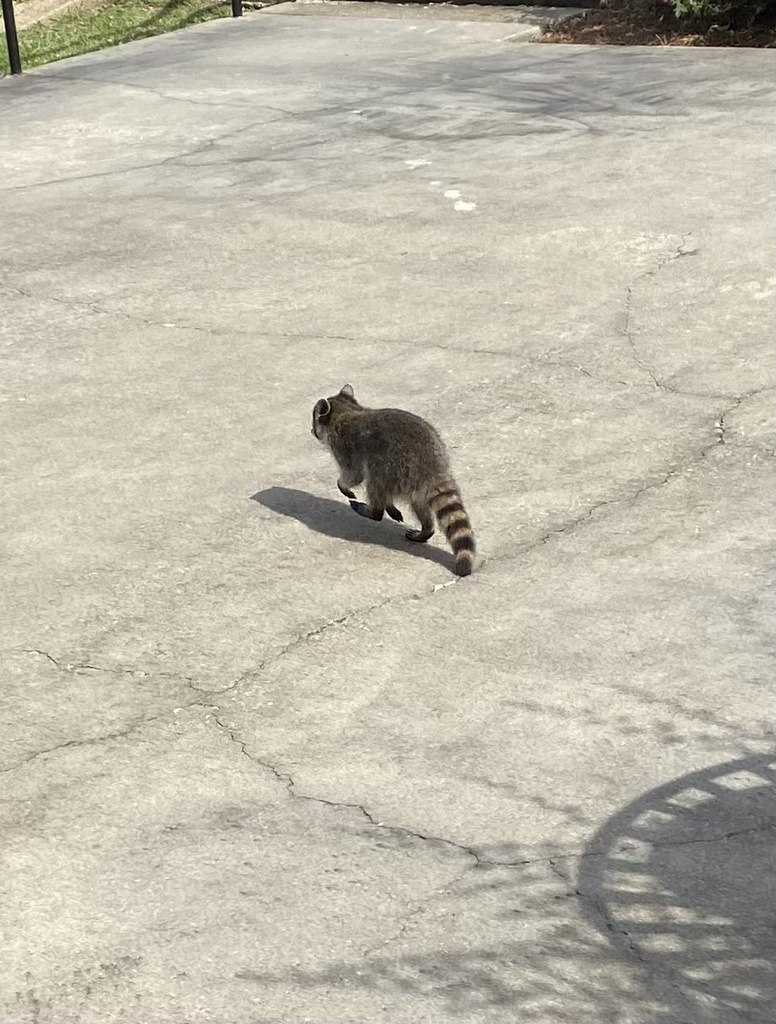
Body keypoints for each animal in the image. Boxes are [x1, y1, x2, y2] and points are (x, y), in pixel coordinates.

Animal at [311, 384, 476, 576]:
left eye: (314, 419)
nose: (311, 431)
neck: (346, 411)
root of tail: (434, 469)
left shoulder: (345, 448)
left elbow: (354, 475)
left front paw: (343, 485)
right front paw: (390, 506)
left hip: (390, 466)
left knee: (374, 484)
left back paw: (374, 511)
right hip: (413, 482)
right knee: (418, 505)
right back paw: (426, 528)